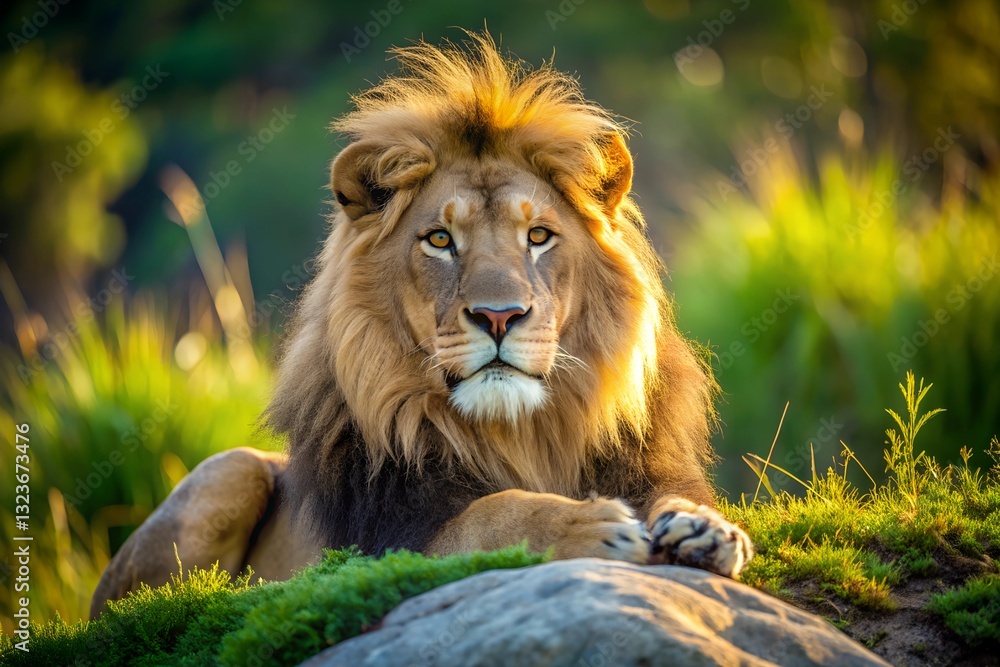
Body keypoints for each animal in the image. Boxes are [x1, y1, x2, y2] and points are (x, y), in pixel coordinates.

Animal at [91, 32, 752, 619]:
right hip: (229, 469)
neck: (519, 433)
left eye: (539, 236)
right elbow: (492, 513)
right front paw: (587, 523)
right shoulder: (393, 546)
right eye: (439, 240)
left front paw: (704, 527)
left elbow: (668, 497)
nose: (498, 315)